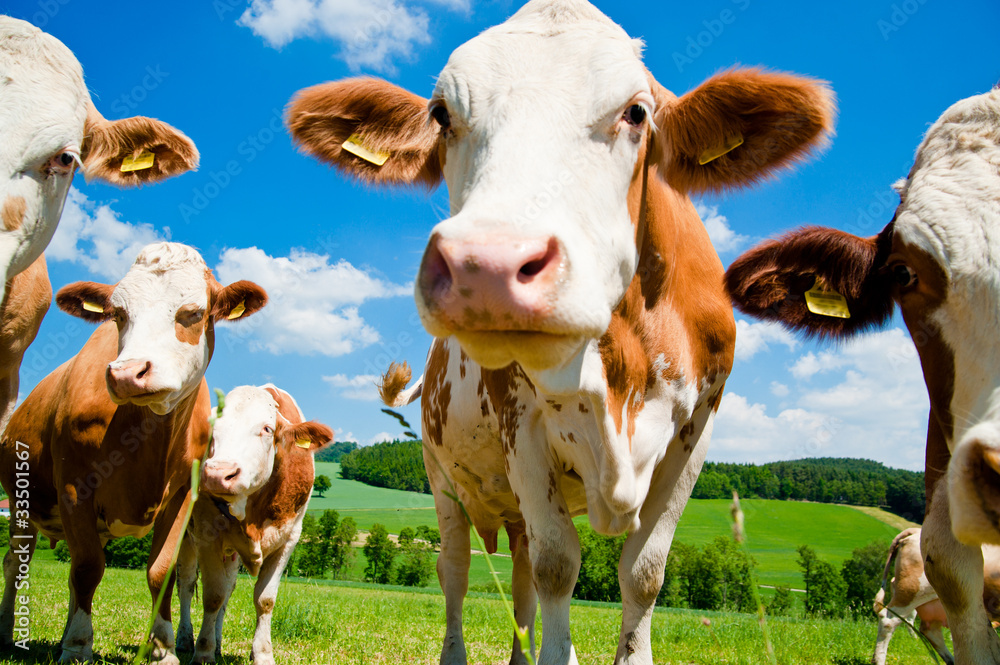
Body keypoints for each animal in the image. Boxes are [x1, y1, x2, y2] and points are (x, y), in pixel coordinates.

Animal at [0, 242, 267, 664]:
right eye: (118, 314)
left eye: (193, 313)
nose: (127, 373)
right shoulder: (74, 490)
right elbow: (88, 568)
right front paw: (78, 645)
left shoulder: (181, 497)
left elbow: (159, 571)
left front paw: (162, 647)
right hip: (20, 503)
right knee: (17, 562)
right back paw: (8, 630)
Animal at [175, 384, 334, 665]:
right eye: (212, 427)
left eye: (267, 429)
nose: (218, 473)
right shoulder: (206, 535)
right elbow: (212, 596)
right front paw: (203, 652)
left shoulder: (288, 539)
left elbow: (264, 600)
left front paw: (262, 653)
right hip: (185, 537)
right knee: (186, 584)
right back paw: (184, 638)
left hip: (232, 553)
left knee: (228, 588)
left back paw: (218, 642)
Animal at [286, 1, 835, 662]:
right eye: (442, 115)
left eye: (636, 112)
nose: (486, 266)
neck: (620, 367)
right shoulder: (519, 422)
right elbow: (558, 566)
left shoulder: (697, 428)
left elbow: (643, 571)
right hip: (442, 476)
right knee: (456, 570)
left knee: (521, 571)